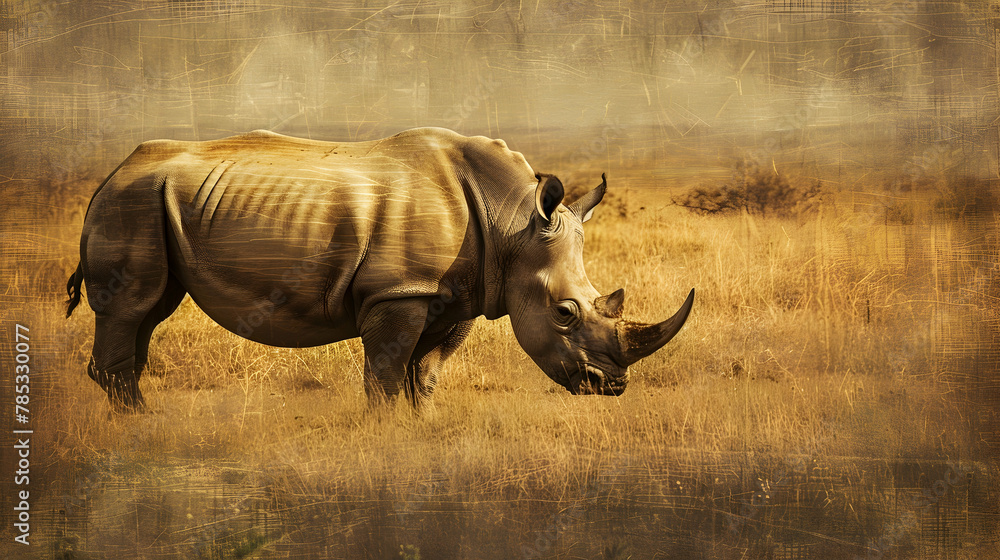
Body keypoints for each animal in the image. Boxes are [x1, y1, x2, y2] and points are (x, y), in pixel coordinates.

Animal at [65, 127, 693, 411]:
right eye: (565, 313)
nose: (612, 387)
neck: (513, 224)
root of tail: (110, 172)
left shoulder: (461, 294)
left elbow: (427, 373)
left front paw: (424, 427)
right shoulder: (399, 292)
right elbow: (388, 374)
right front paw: (387, 434)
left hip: (151, 201)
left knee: (151, 311)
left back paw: (137, 417)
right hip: (132, 201)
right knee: (133, 308)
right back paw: (141, 425)